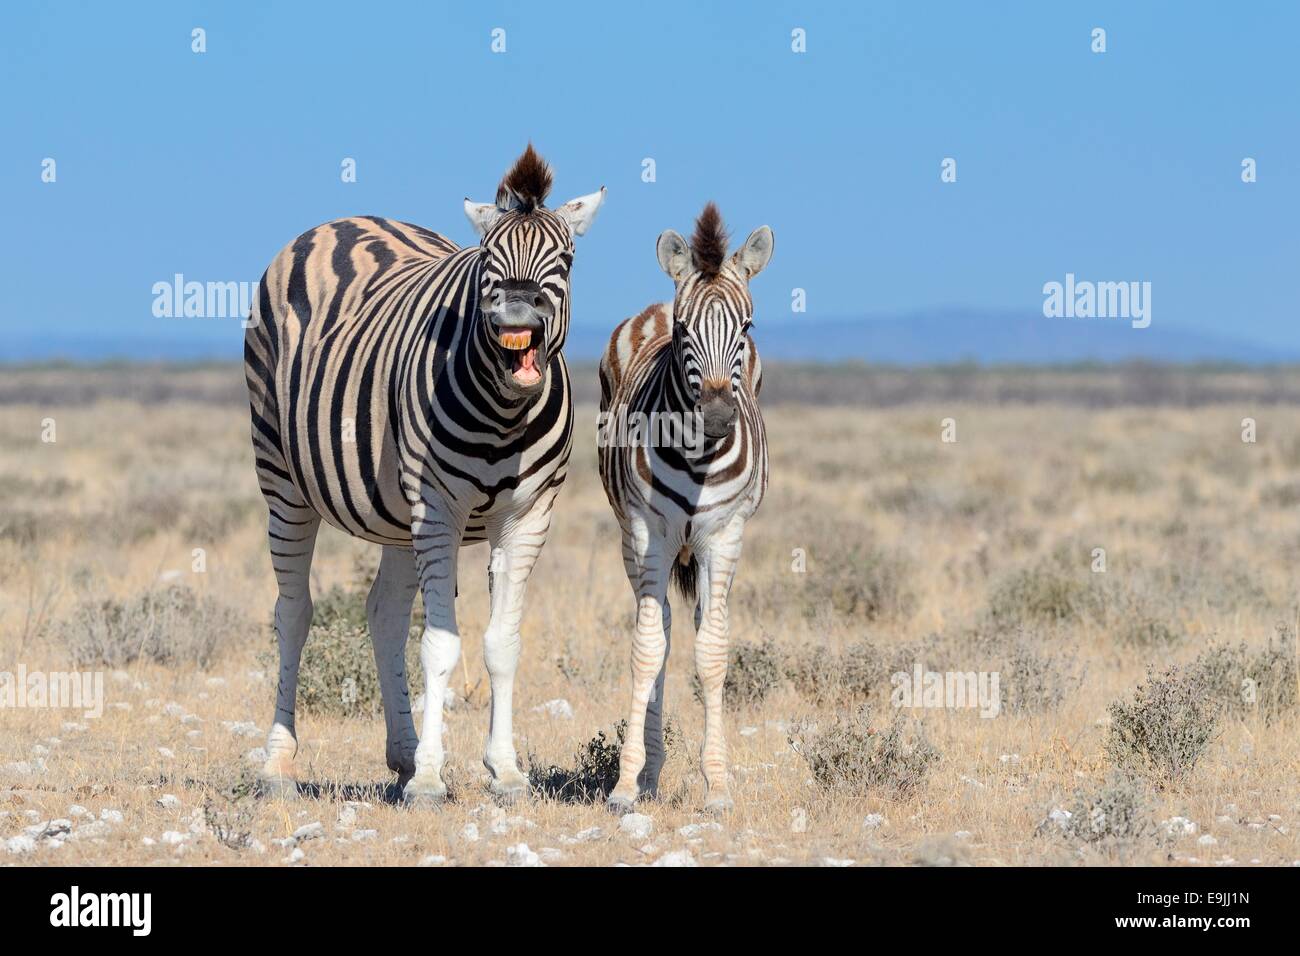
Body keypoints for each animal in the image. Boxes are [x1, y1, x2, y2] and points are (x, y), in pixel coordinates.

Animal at [243, 146, 605, 806]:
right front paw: (433, 779)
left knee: (384, 612)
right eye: (489, 262)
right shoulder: (437, 508)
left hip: (394, 514)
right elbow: (438, 645)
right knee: (293, 614)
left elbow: (501, 644)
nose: (517, 314)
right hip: (282, 478)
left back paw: (402, 753)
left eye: (565, 261)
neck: (505, 415)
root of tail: (344, 220)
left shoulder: (527, 516)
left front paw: (503, 771)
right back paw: (278, 763)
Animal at [597, 203, 772, 813]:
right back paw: (650, 772)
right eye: (683, 329)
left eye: (747, 328)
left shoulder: (726, 535)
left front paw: (717, 784)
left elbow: (713, 653)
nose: (718, 418)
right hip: (632, 541)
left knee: (695, 627)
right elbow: (648, 651)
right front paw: (627, 783)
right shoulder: (648, 532)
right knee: (666, 631)